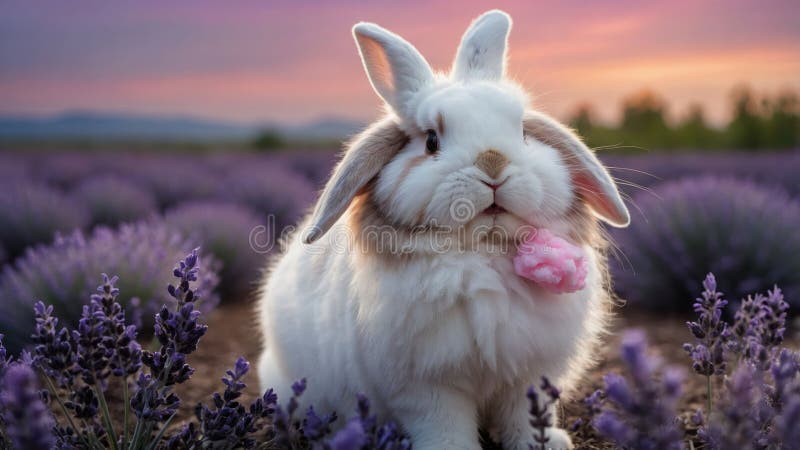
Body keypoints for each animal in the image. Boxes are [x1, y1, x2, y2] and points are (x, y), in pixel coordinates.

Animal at [257, 9, 630, 450]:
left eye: (522, 131)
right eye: (432, 141)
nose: (492, 163)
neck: (484, 251)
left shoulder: (526, 372)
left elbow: (525, 414)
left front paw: (543, 442)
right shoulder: (425, 385)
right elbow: (443, 423)